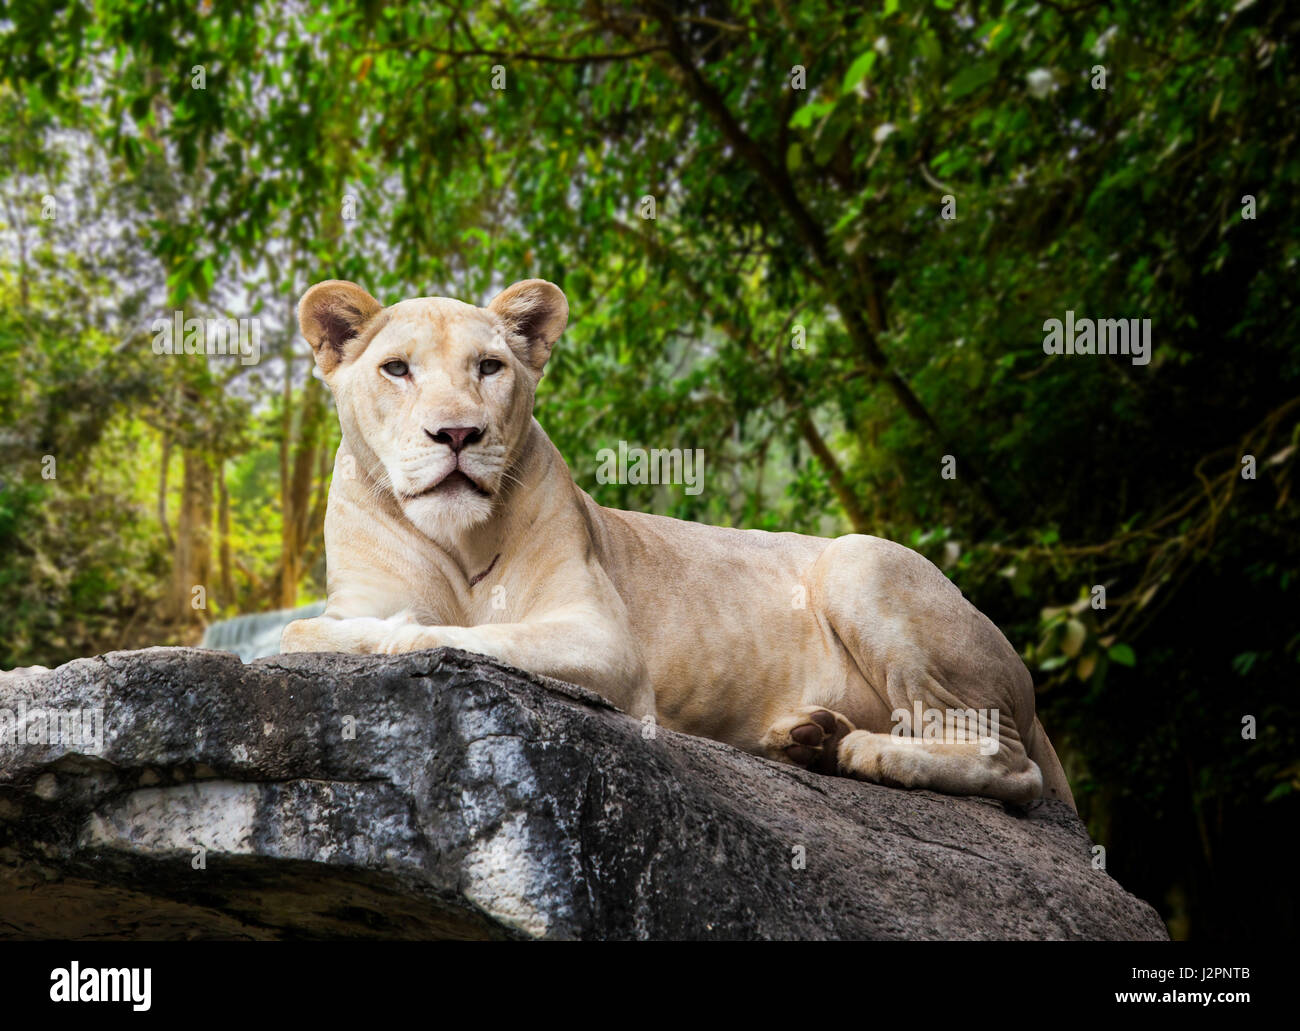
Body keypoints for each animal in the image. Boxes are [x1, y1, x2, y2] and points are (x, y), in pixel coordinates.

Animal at [281, 278, 1075, 809]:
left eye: (489, 367)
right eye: (397, 369)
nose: (457, 434)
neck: (458, 541)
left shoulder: (605, 641)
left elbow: (438, 634)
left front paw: (376, 635)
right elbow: (326, 627)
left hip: (862, 560)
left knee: (1008, 767)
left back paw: (863, 750)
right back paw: (811, 738)